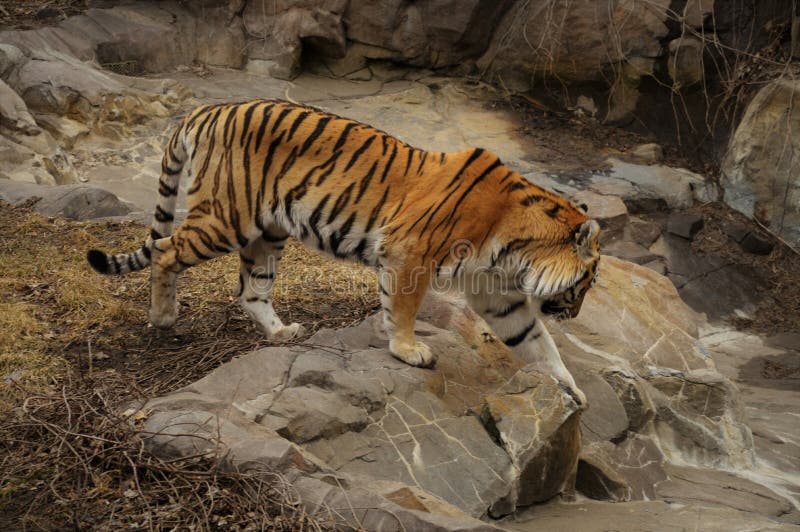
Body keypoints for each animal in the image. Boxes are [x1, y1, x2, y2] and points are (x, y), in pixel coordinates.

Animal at [87, 99, 600, 403]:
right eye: (584, 285)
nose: (574, 315)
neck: (514, 249)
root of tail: (204, 110)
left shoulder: (495, 291)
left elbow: (535, 341)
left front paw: (571, 388)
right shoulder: (409, 254)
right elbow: (404, 309)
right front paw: (409, 350)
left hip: (268, 231)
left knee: (250, 290)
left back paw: (281, 333)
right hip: (225, 218)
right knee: (165, 249)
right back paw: (163, 317)